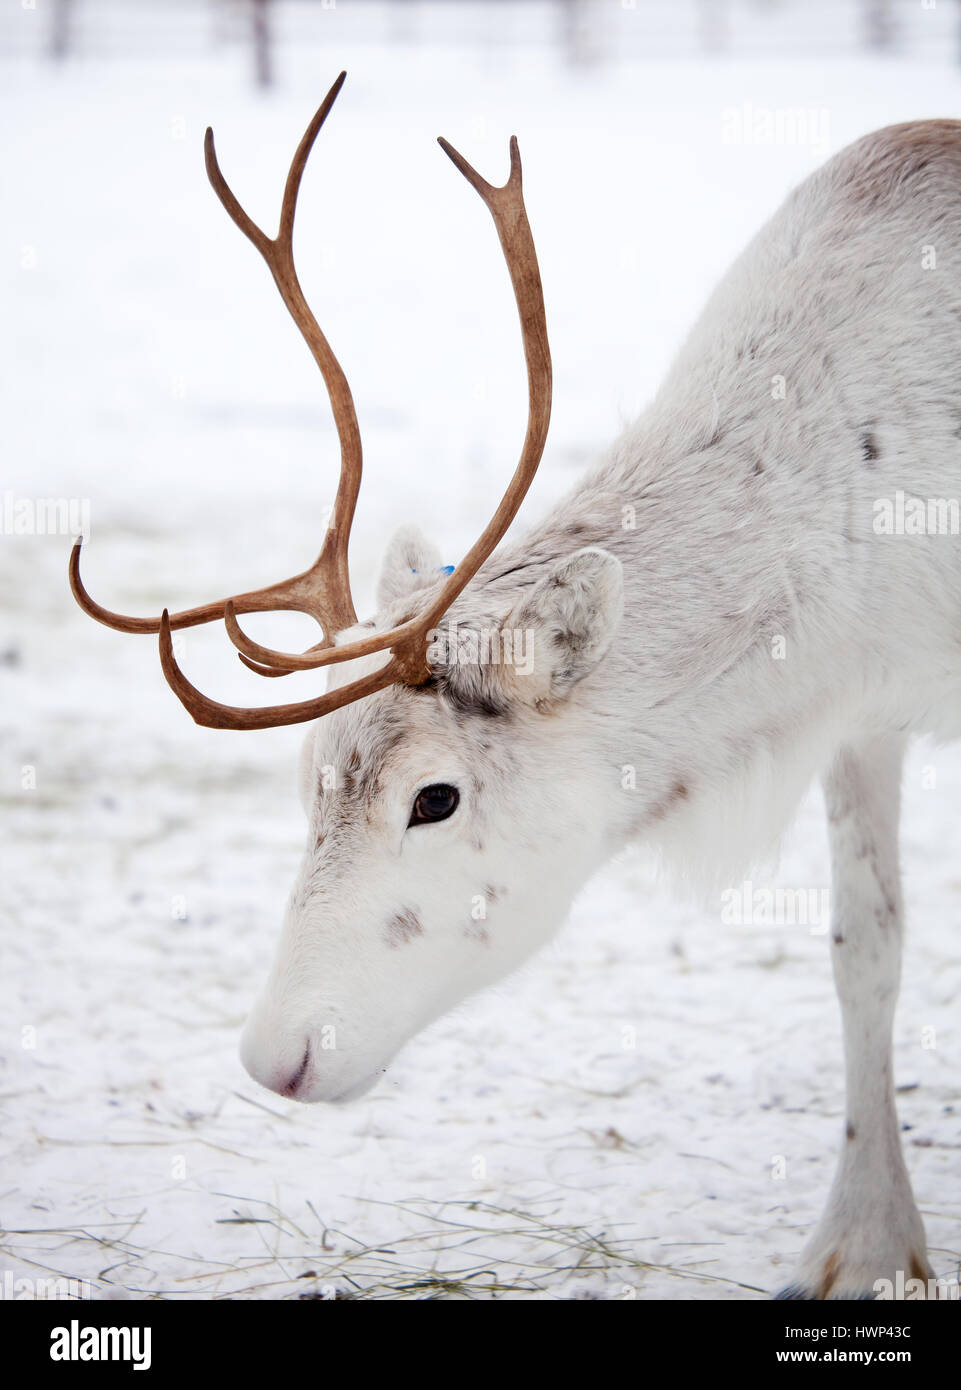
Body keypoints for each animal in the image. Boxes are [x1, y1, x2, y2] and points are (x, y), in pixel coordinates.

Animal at [71, 73, 961, 1300]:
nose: (275, 1057)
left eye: (435, 798)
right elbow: (863, 949)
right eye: (307, 779)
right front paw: (863, 1245)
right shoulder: (855, 715)